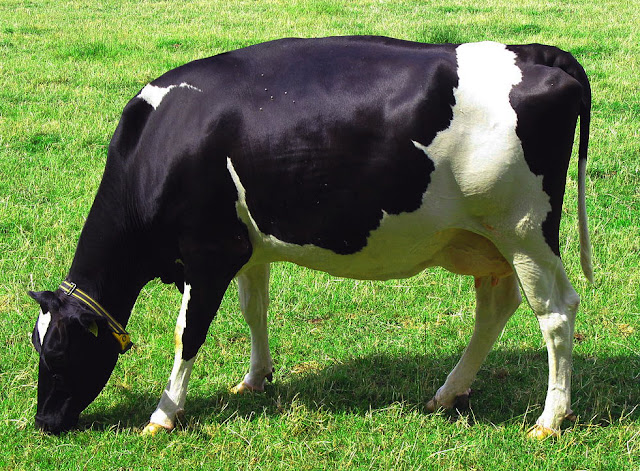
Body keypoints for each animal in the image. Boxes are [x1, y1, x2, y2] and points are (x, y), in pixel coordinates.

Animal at [28, 36, 592, 439]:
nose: (44, 423)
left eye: (56, 352)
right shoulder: (248, 248)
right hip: (487, 241)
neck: (163, 142)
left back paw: (550, 419)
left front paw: (164, 413)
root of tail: (532, 52)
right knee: (495, 307)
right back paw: (449, 393)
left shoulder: (208, 254)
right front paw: (255, 378)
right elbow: (253, 310)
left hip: (525, 231)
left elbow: (188, 333)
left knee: (556, 313)